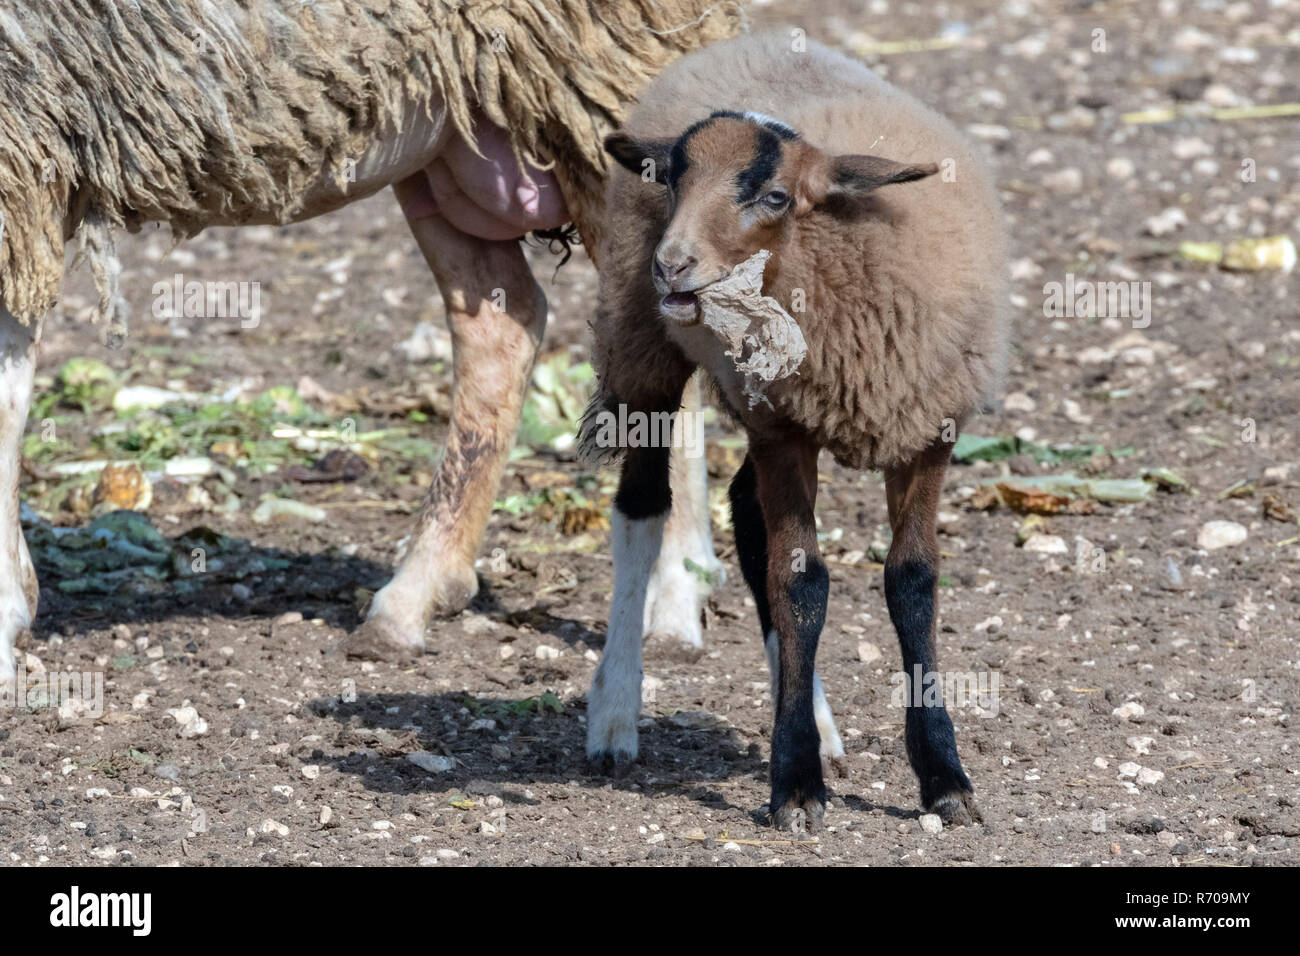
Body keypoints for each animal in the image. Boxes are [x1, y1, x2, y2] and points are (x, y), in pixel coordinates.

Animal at [581, 33, 1010, 830]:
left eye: (774, 196)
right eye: (674, 183)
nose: (671, 266)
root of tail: (737, 43)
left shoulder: (926, 429)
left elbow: (912, 581)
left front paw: (944, 776)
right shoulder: (782, 429)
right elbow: (801, 583)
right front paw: (796, 784)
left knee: (747, 516)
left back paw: (818, 721)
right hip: (642, 344)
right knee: (642, 510)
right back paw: (615, 714)